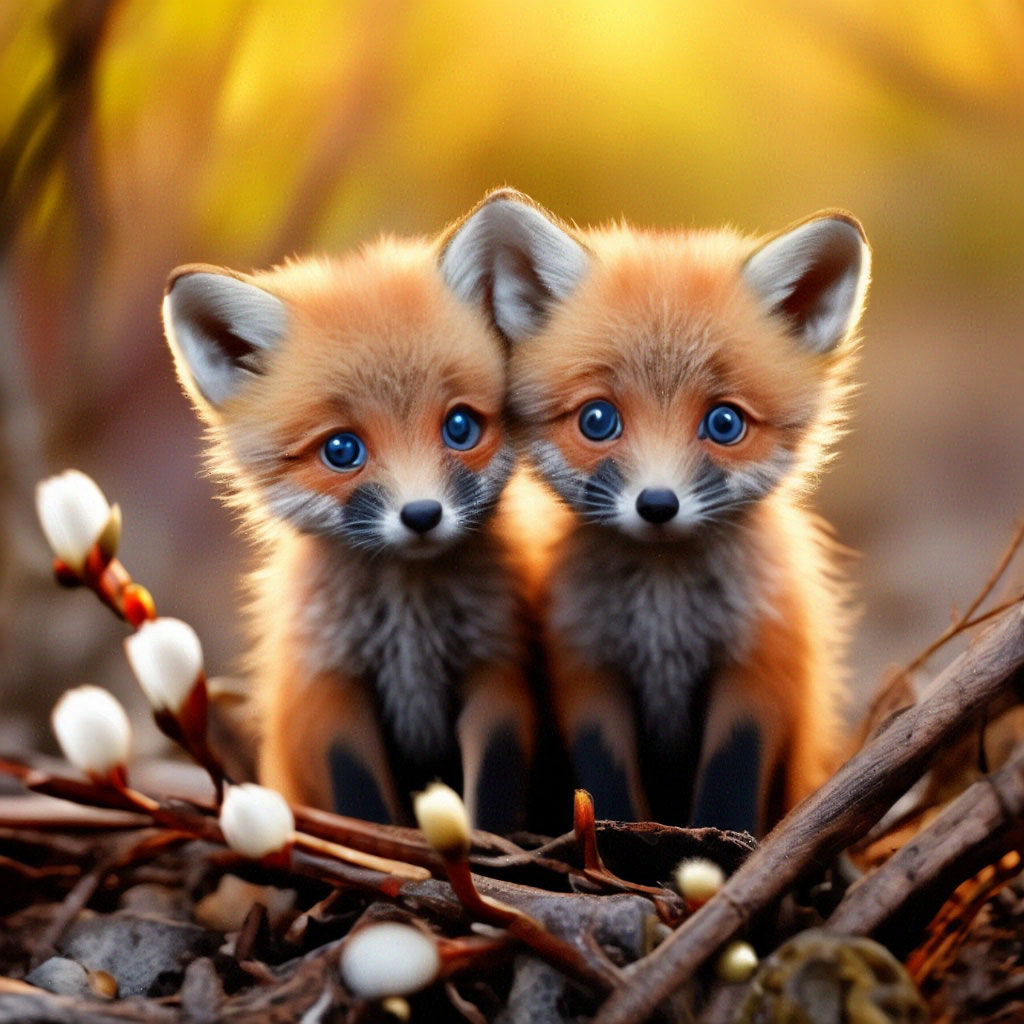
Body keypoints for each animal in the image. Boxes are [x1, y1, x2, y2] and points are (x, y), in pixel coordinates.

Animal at [160, 222, 538, 831]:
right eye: (341, 450)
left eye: (460, 427)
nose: (422, 515)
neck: (409, 623)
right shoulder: (326, 688)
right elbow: (360, 803)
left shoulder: (497, 666)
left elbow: (495, 791)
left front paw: (488, 849)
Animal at [441, 189, 870, 835]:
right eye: (598, 419)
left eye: (725, 422)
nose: (657, 505)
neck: (664, 620)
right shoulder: (587, 671)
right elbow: (607, 784)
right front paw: (622, 839)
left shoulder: (760, 669)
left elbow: (729, 783)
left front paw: (726, 844)